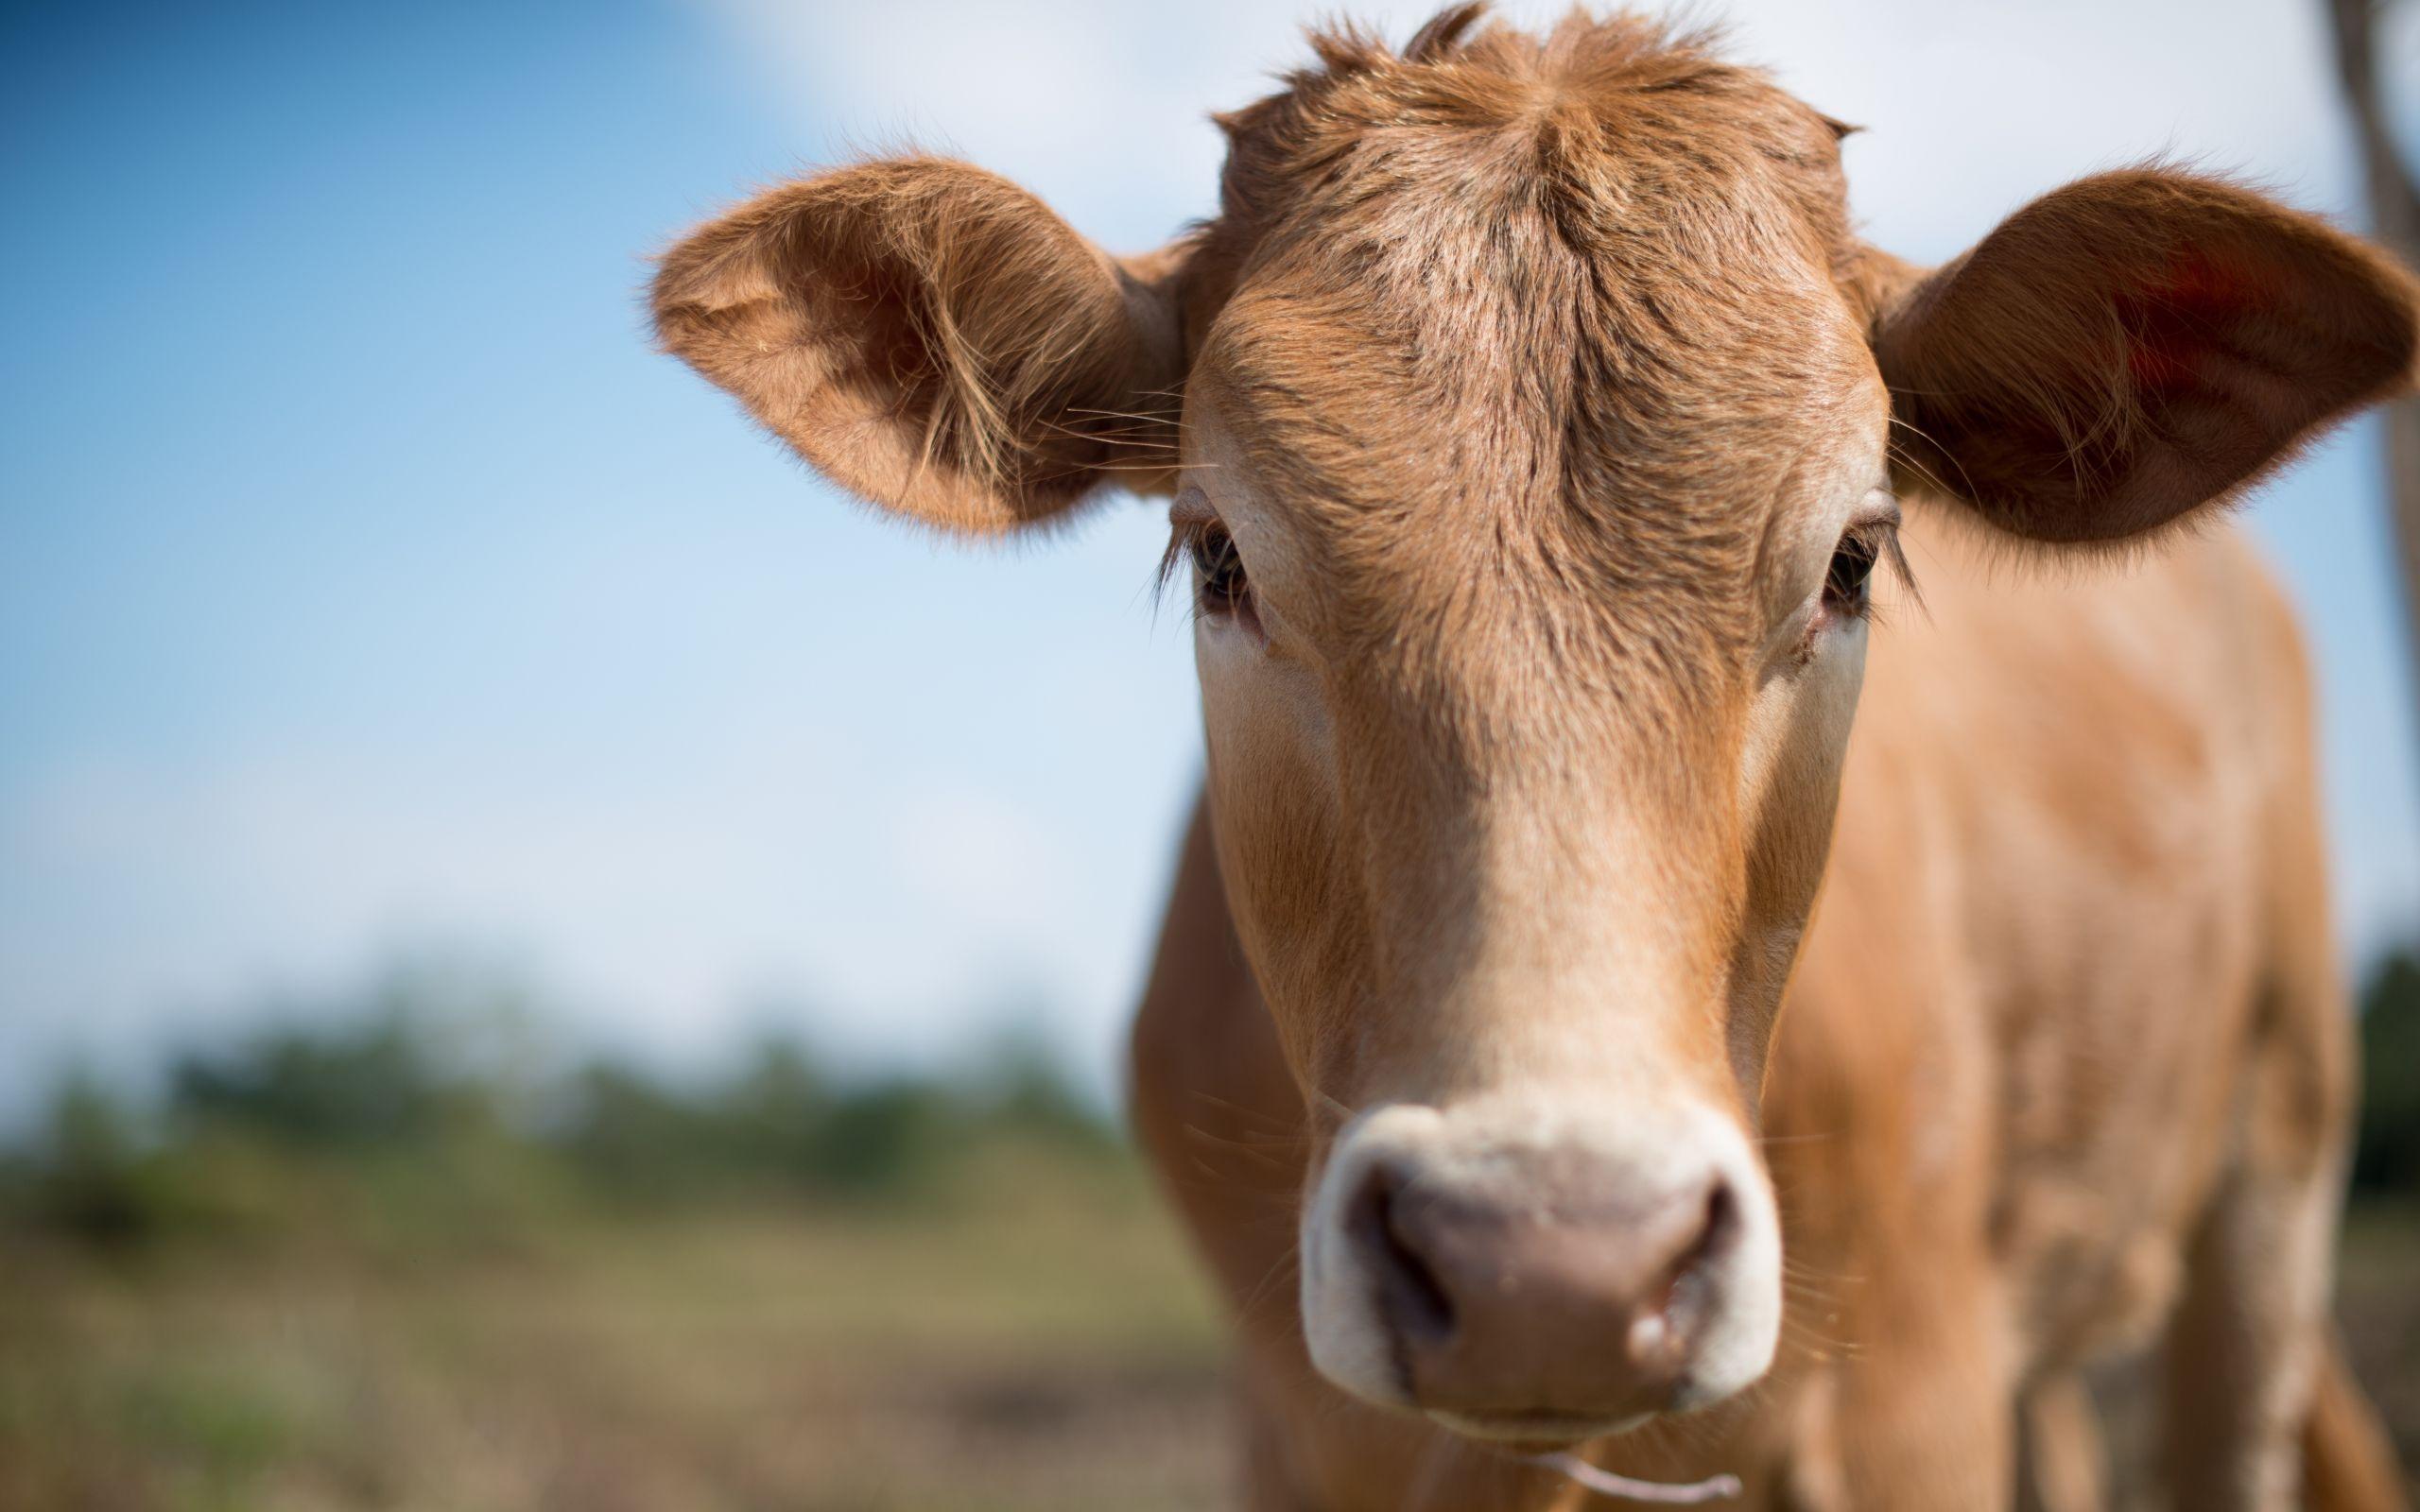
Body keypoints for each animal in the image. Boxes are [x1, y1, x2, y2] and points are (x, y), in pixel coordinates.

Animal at [650, 7, 2417, 1508]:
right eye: (1218, 555)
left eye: (1852, 558)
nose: (1551, 1266)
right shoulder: (1291, 1431)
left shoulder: (1920, 1398)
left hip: (2274, 1165)